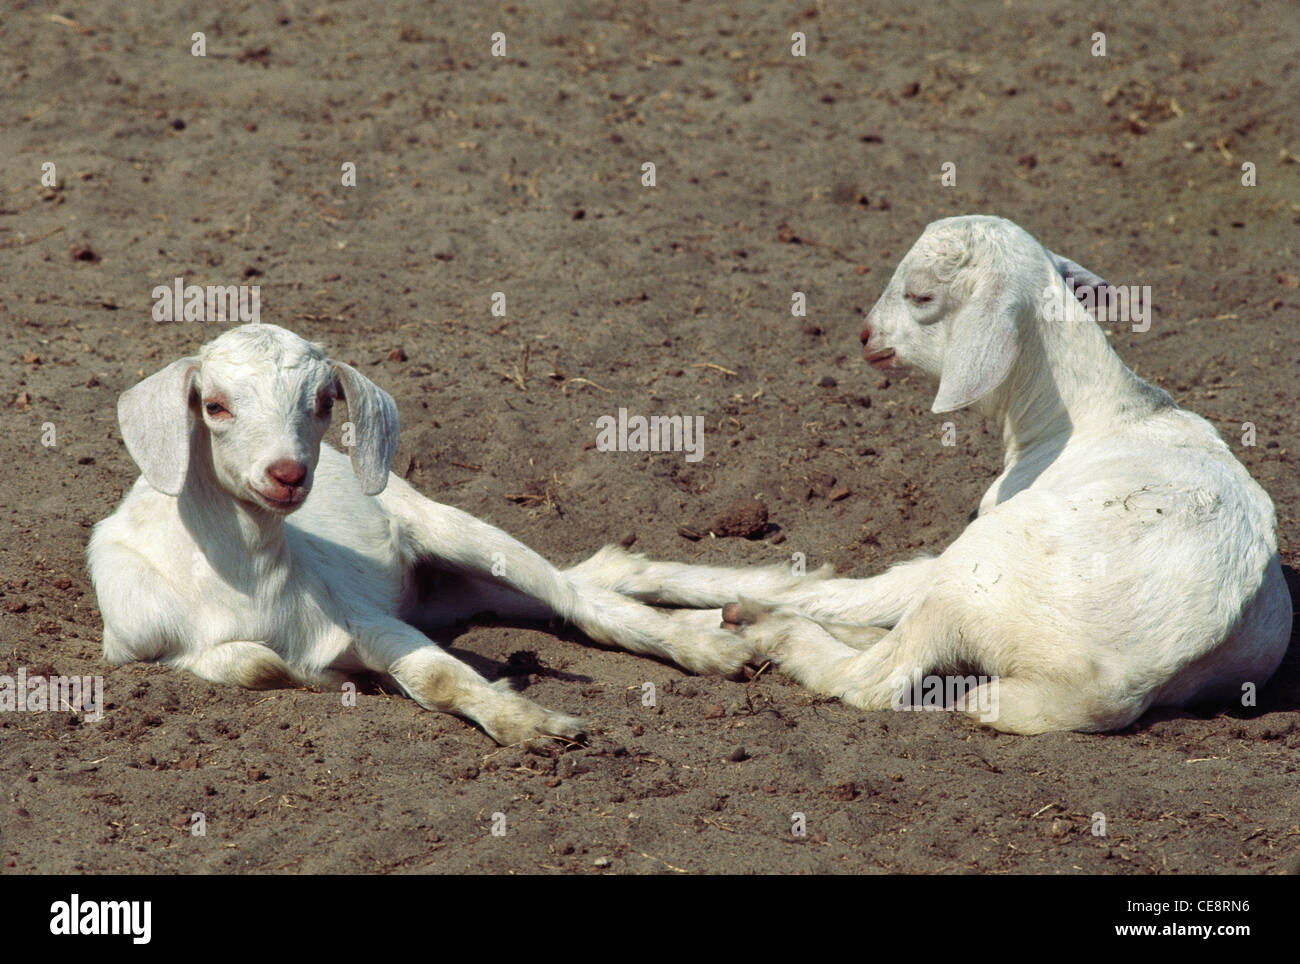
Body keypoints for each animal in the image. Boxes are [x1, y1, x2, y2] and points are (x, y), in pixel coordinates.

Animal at [86, 324, 818, 745]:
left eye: (323, 403)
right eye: (214, 406)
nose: (288, 474)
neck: (244, 577)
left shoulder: (362, 616)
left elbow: (436, 674)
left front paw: (535, 725)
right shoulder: (138, 647)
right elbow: (252, 663)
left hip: (452, 531)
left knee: (580, 597)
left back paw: (716, 649)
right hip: (453, 590)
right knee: (598, 578)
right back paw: (732, 630)